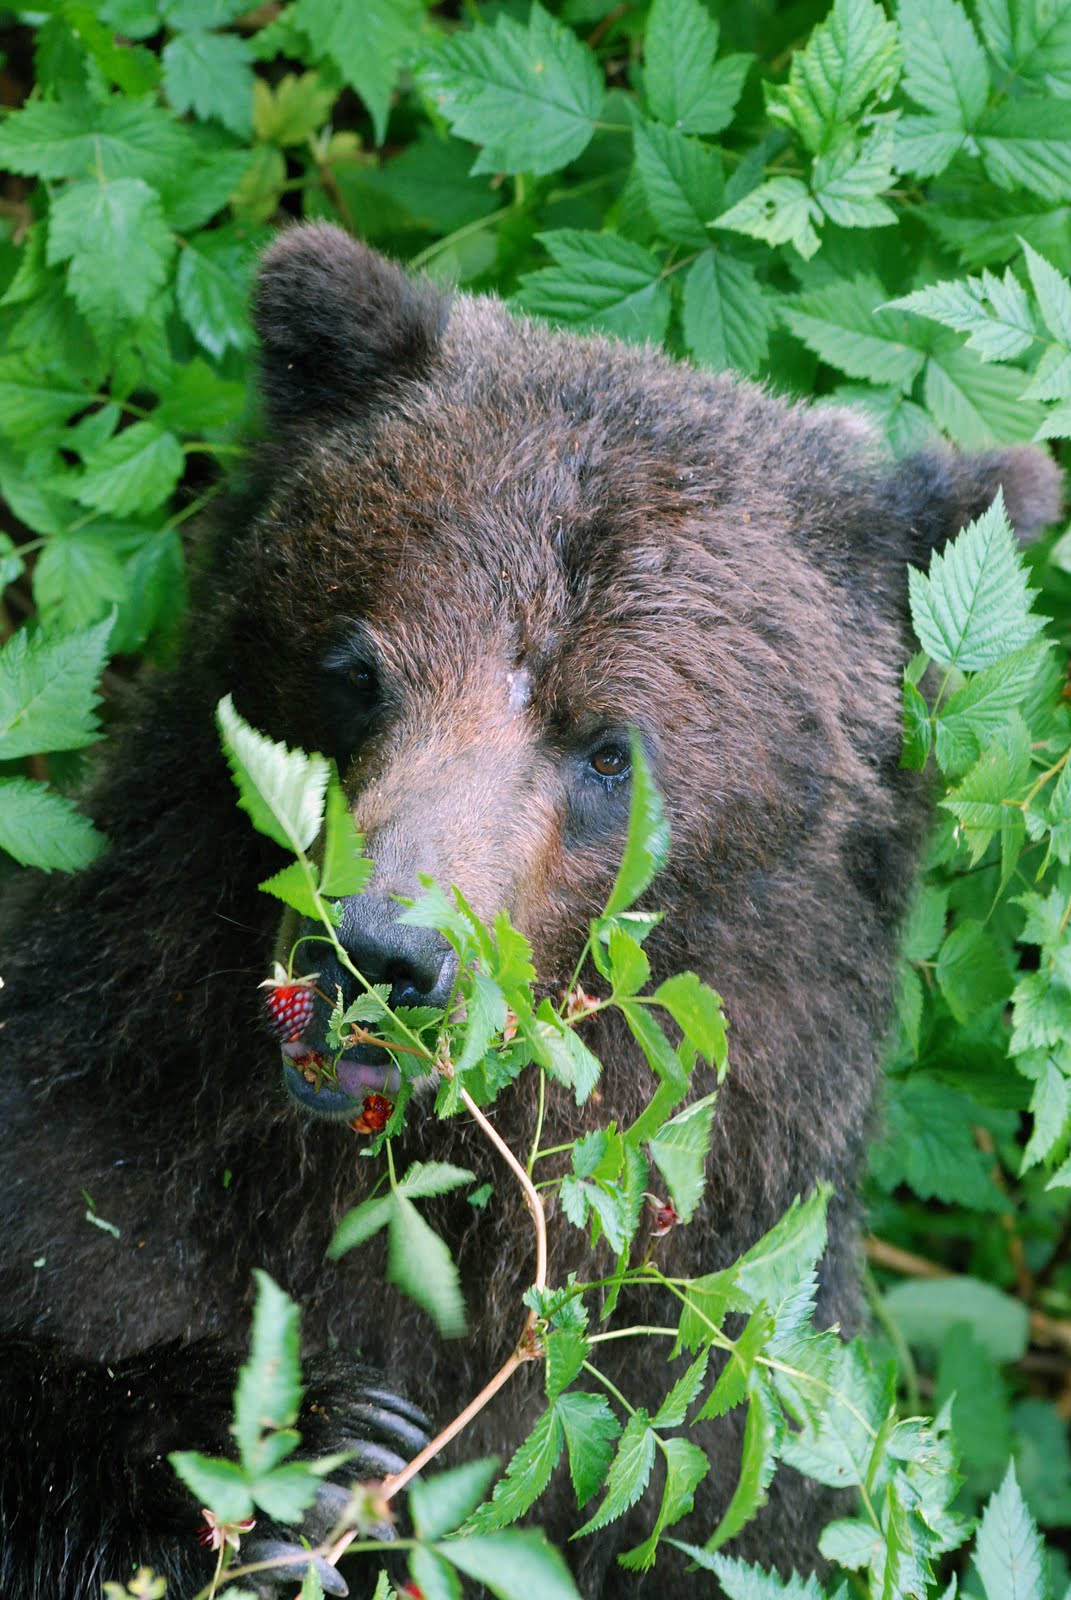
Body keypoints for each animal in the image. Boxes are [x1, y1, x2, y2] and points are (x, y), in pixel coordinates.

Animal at [0, 221, 1061, 1600]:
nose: (375, 951)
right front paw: (310, 1446)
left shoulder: (721, 1422)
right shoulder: (92, 1138)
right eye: (356, 670)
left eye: (608, 748)